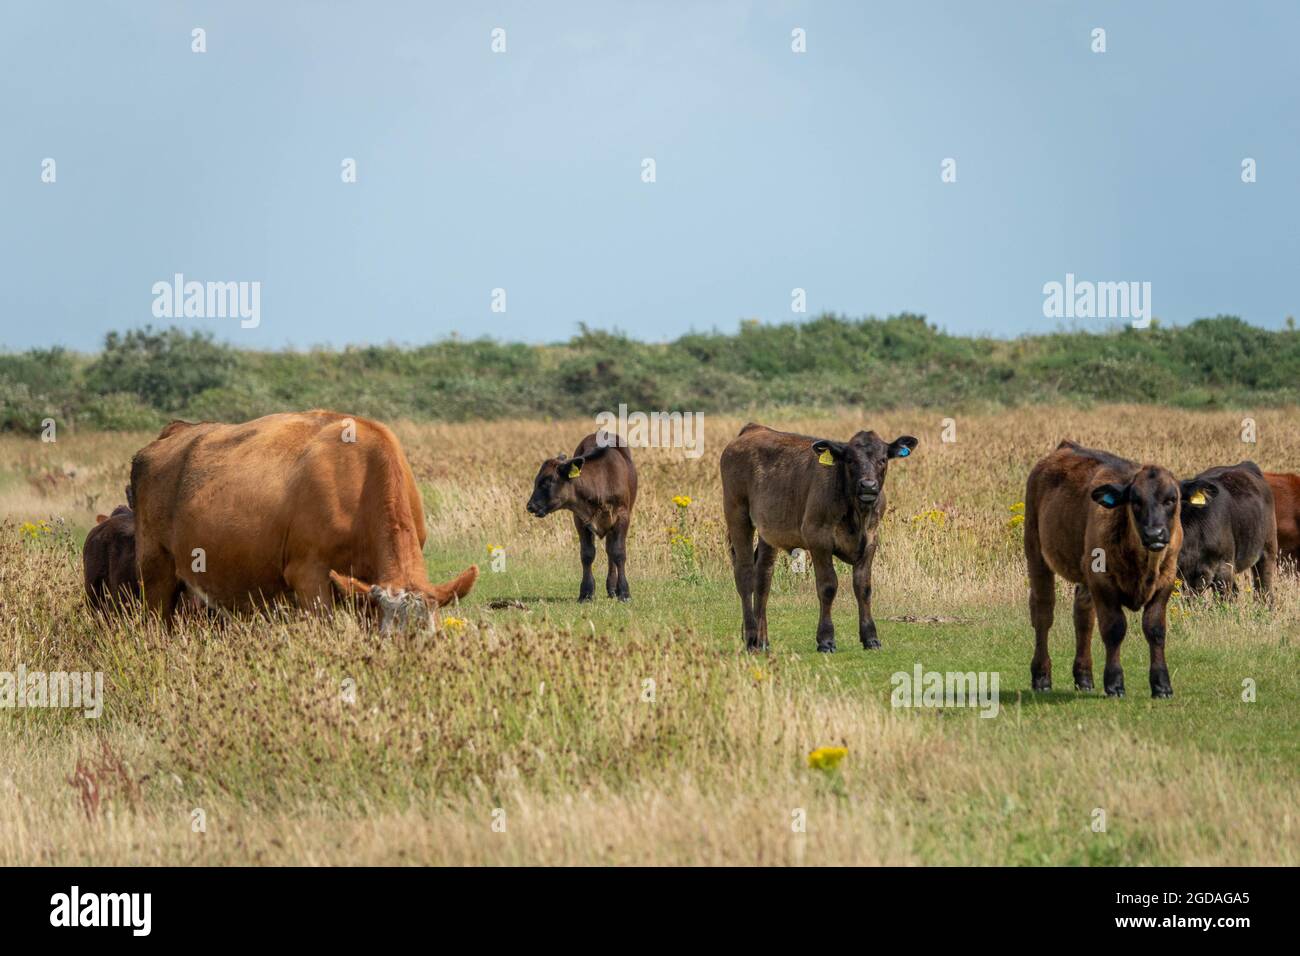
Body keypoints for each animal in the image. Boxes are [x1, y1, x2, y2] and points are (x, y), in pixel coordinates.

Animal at [525, 431, 636, 602]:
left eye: (547, 482)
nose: (530, 506)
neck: (602, 481)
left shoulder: (622, 517)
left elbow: (618, 552)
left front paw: (624, 592)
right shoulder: (580, 519)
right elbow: (587, 554)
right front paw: (586, 592)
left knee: (611, 551)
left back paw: (613, 589)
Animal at [719, 423, 918, 653]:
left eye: (883, 459)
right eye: (850, 460)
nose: (868, 485)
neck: (857, 514)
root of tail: (754, 428)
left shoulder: (870, 540)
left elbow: (863, 587)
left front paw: (871, 637)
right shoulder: (818, 539)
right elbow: (828, 586)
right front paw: (826, 639)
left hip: (767, 532)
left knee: (762, 577)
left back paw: (762, 641)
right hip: (737, 514)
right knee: (745, 574)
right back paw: (751, 638)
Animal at [1023, 440, 1216, 699]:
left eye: (1171, 499)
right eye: (1135, 500)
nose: (1154, 534)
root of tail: (1064, 448)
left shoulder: (1165, 582)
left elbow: (1155, 630)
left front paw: (1161, 685)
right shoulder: (1103, 583)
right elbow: (1114, 629)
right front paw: (1115, 683)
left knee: (1083, 616)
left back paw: (1084, 678)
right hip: (1036, 553)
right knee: (1043, 613)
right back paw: (1042, 677)